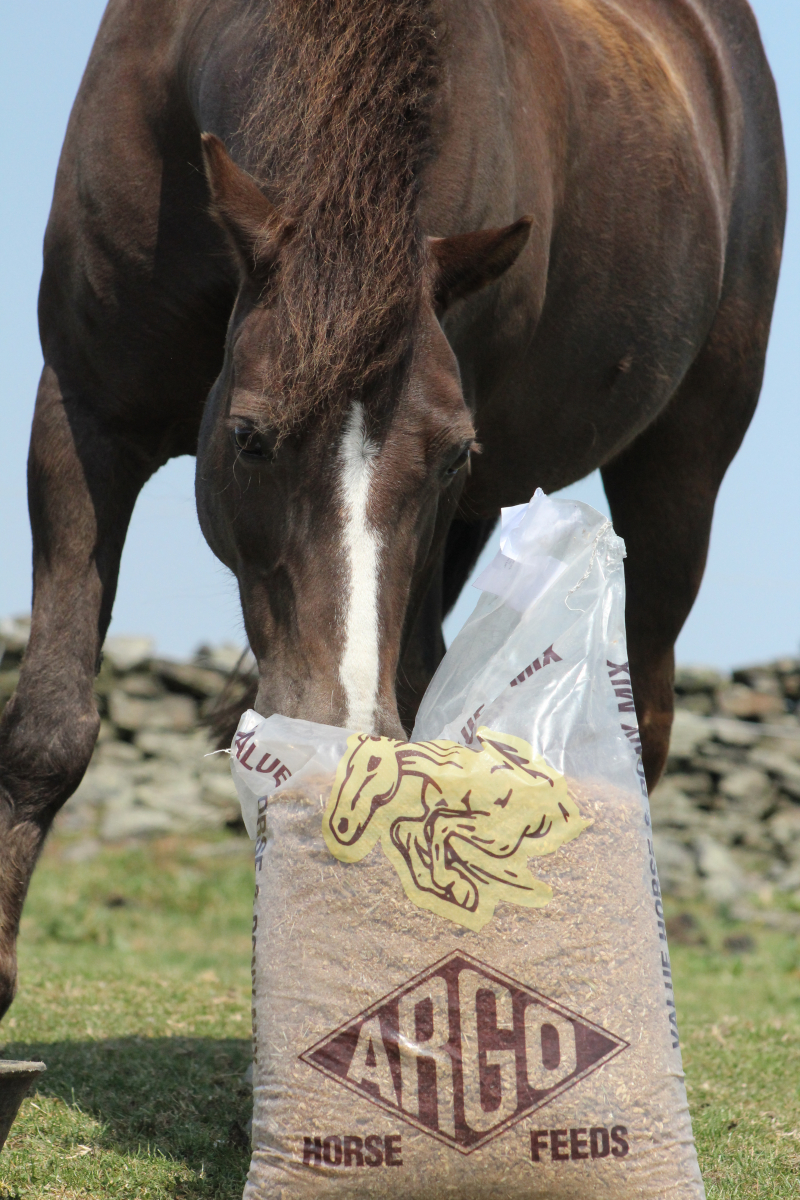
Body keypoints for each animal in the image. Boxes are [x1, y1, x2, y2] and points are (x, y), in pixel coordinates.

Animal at [0, 0, 785, 1014]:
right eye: (249, 437)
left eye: (451, 454)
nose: (338, 732)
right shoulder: (82, 417)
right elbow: (50, 725)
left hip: (680, 470)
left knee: (639, 721)